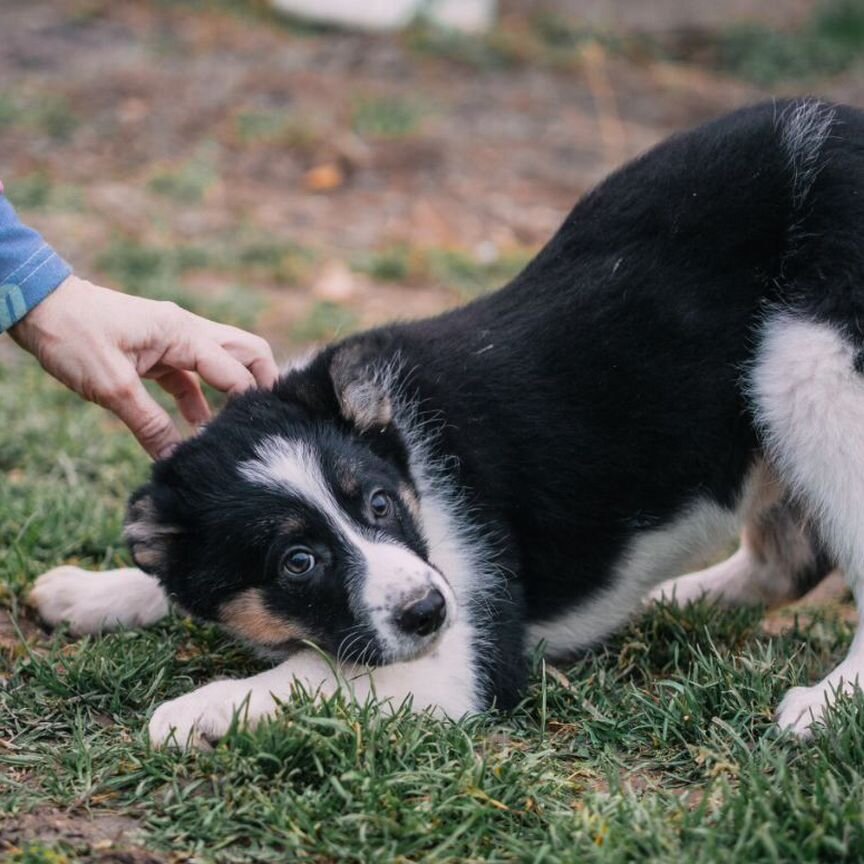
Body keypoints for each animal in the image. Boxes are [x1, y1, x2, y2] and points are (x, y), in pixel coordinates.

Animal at [30, 99, 864, 748]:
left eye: (379, 504)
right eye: (298, 562)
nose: (428, 610)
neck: (407, 463)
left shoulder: (464, 659)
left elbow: (312, 669)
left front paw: (197, 710)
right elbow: (172, 580)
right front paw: (89, 593)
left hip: (813, 372)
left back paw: (827, 704)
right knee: (790, 559)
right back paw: (674, 601)